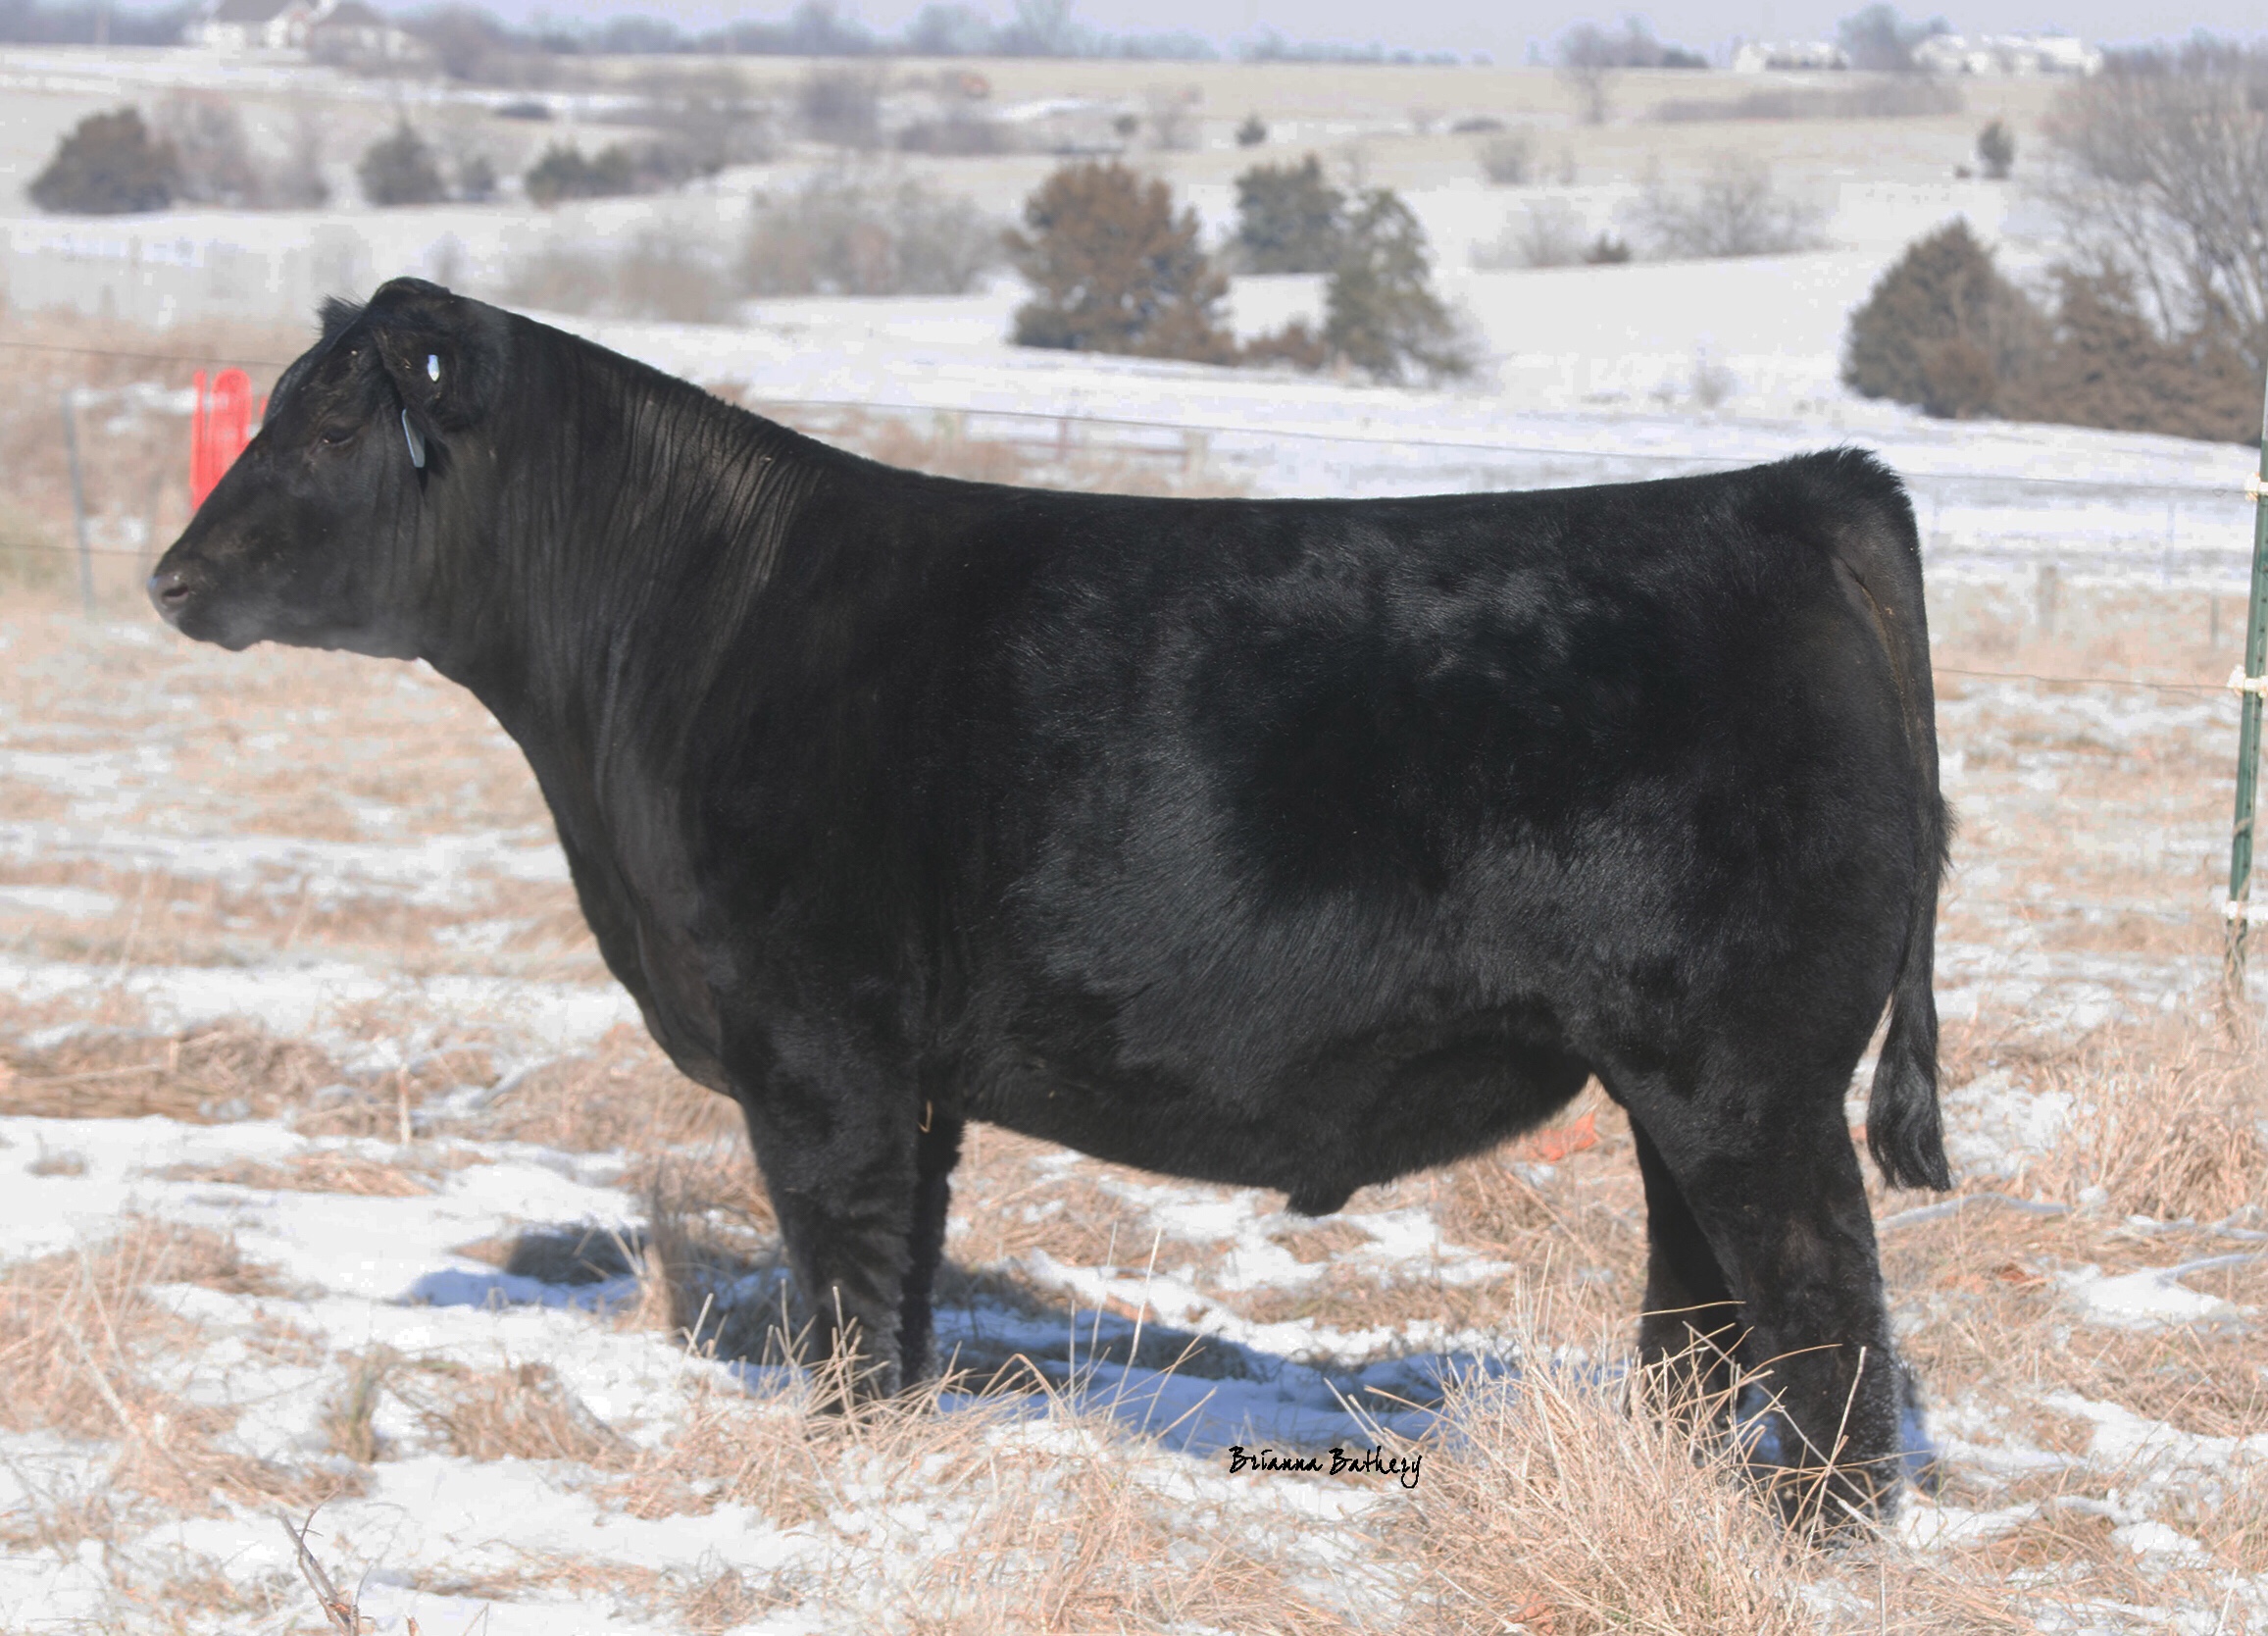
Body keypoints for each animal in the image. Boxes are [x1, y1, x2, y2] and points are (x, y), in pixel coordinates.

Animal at [149, 279, 1951, 1520]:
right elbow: (903, 1277)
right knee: (1702, 1300)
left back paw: (1811, 1529)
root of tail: (1798, 491)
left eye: (331, 427)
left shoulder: (818, 1047)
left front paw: (839, 1455)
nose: (172, 576)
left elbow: (839, 1271)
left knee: (1820, 1296)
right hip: (1675, 1079)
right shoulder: (911, 1077)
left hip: (1742, 1071)